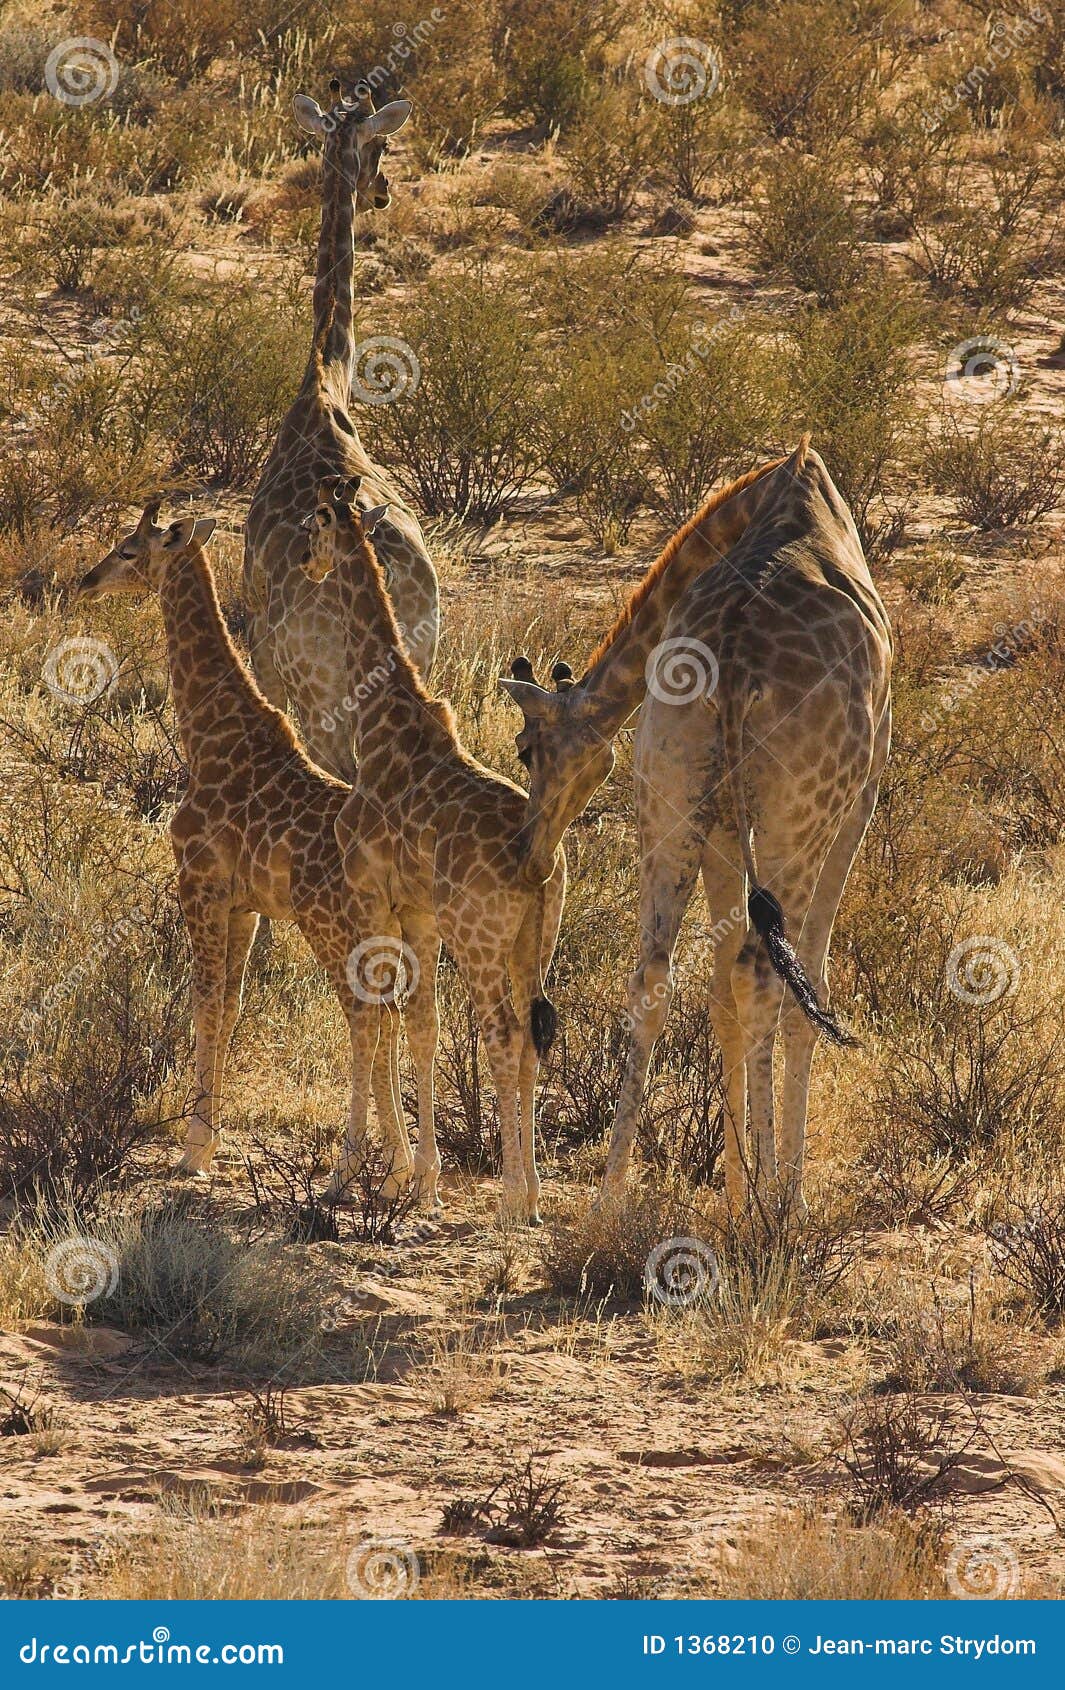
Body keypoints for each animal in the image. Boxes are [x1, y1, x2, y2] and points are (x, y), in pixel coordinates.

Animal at [77, 501, 414, 1192]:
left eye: (128, 549)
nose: (87, 582)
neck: (207, 736)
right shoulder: (246, 906)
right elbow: (229, 1008)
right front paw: (208, 1140)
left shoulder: (199, 883)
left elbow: (204, 1003)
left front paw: (192, 1149)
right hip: (381, 934)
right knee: (393, 1016)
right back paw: (406, 1176)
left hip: (330, 926)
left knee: (364, 1017)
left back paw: (352, 1169)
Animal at [300, 479, 567, 1223]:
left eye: (312, 525)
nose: (306, 563)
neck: (378, 722)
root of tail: (540, 865)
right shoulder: (416, 912)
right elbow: (420, 1023)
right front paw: (422, 1181)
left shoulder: (368, 895)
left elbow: (370, 1018)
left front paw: (347, 1173)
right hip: (535, 941)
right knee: (533, 1036)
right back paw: (532, 1195)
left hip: (479, 938)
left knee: (503, 1035)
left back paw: (512, 1201)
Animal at [500, 442, 892, 1216]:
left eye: (526, 750)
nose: (529, 857)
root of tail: (735, 654)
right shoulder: (857, 802)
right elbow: (808, 988)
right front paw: (780, 1192)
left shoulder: (719, 826)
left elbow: (717, 994)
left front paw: (737, 1190)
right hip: (796, 816)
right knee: (767, 973)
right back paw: (773, 1210)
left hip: (668, 797)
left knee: (654, 973)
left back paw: (608, 1201)